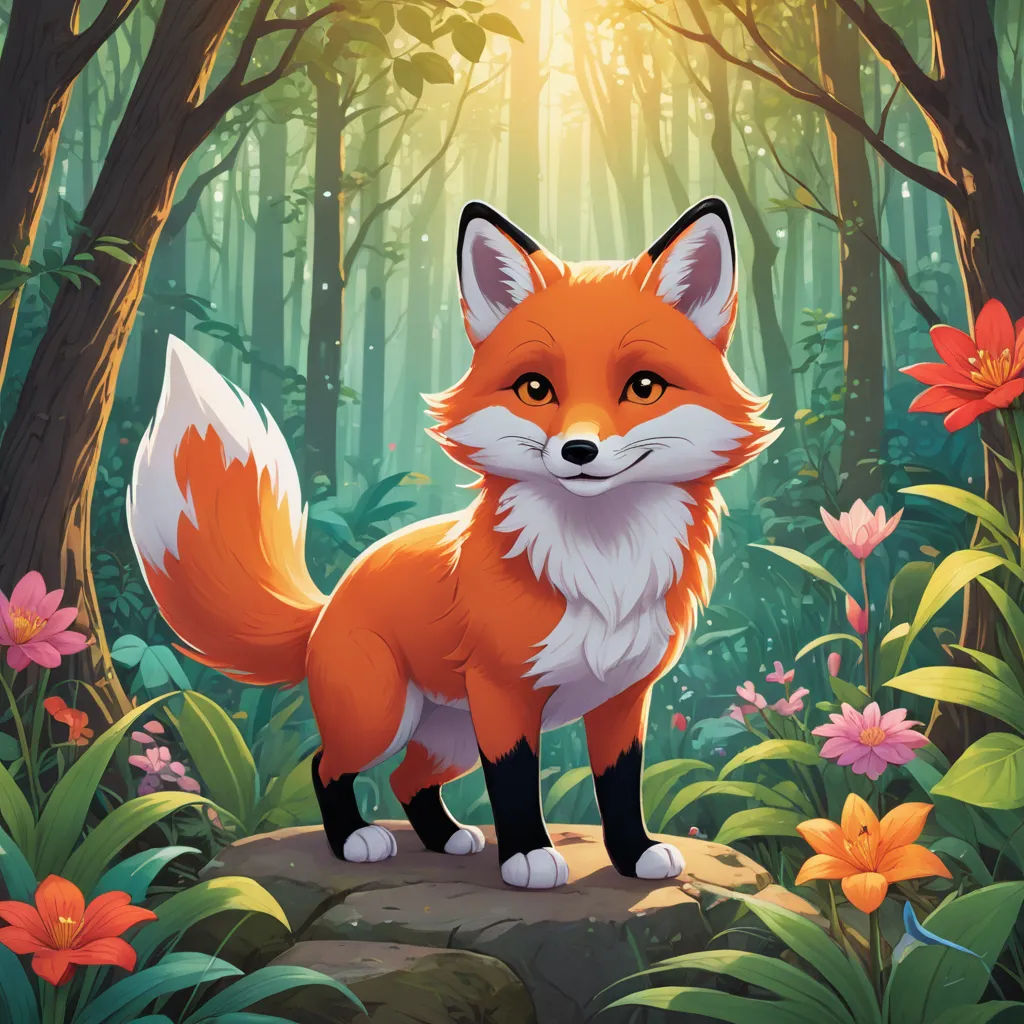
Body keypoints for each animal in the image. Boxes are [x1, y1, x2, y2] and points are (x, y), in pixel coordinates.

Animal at [127, 197, 777, 889]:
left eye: (645, 387)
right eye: (536, 388)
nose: (578, 451)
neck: (602, 566)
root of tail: (329, 603)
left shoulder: (623, 699)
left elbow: (620, 786)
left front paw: (633, 854)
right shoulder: (503, 697)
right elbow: (515, 782)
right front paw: (527, 857)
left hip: (449, 738)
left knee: (406, 780)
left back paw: (444, 839)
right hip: (382, 717)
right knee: (326, 766)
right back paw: (354, 839)